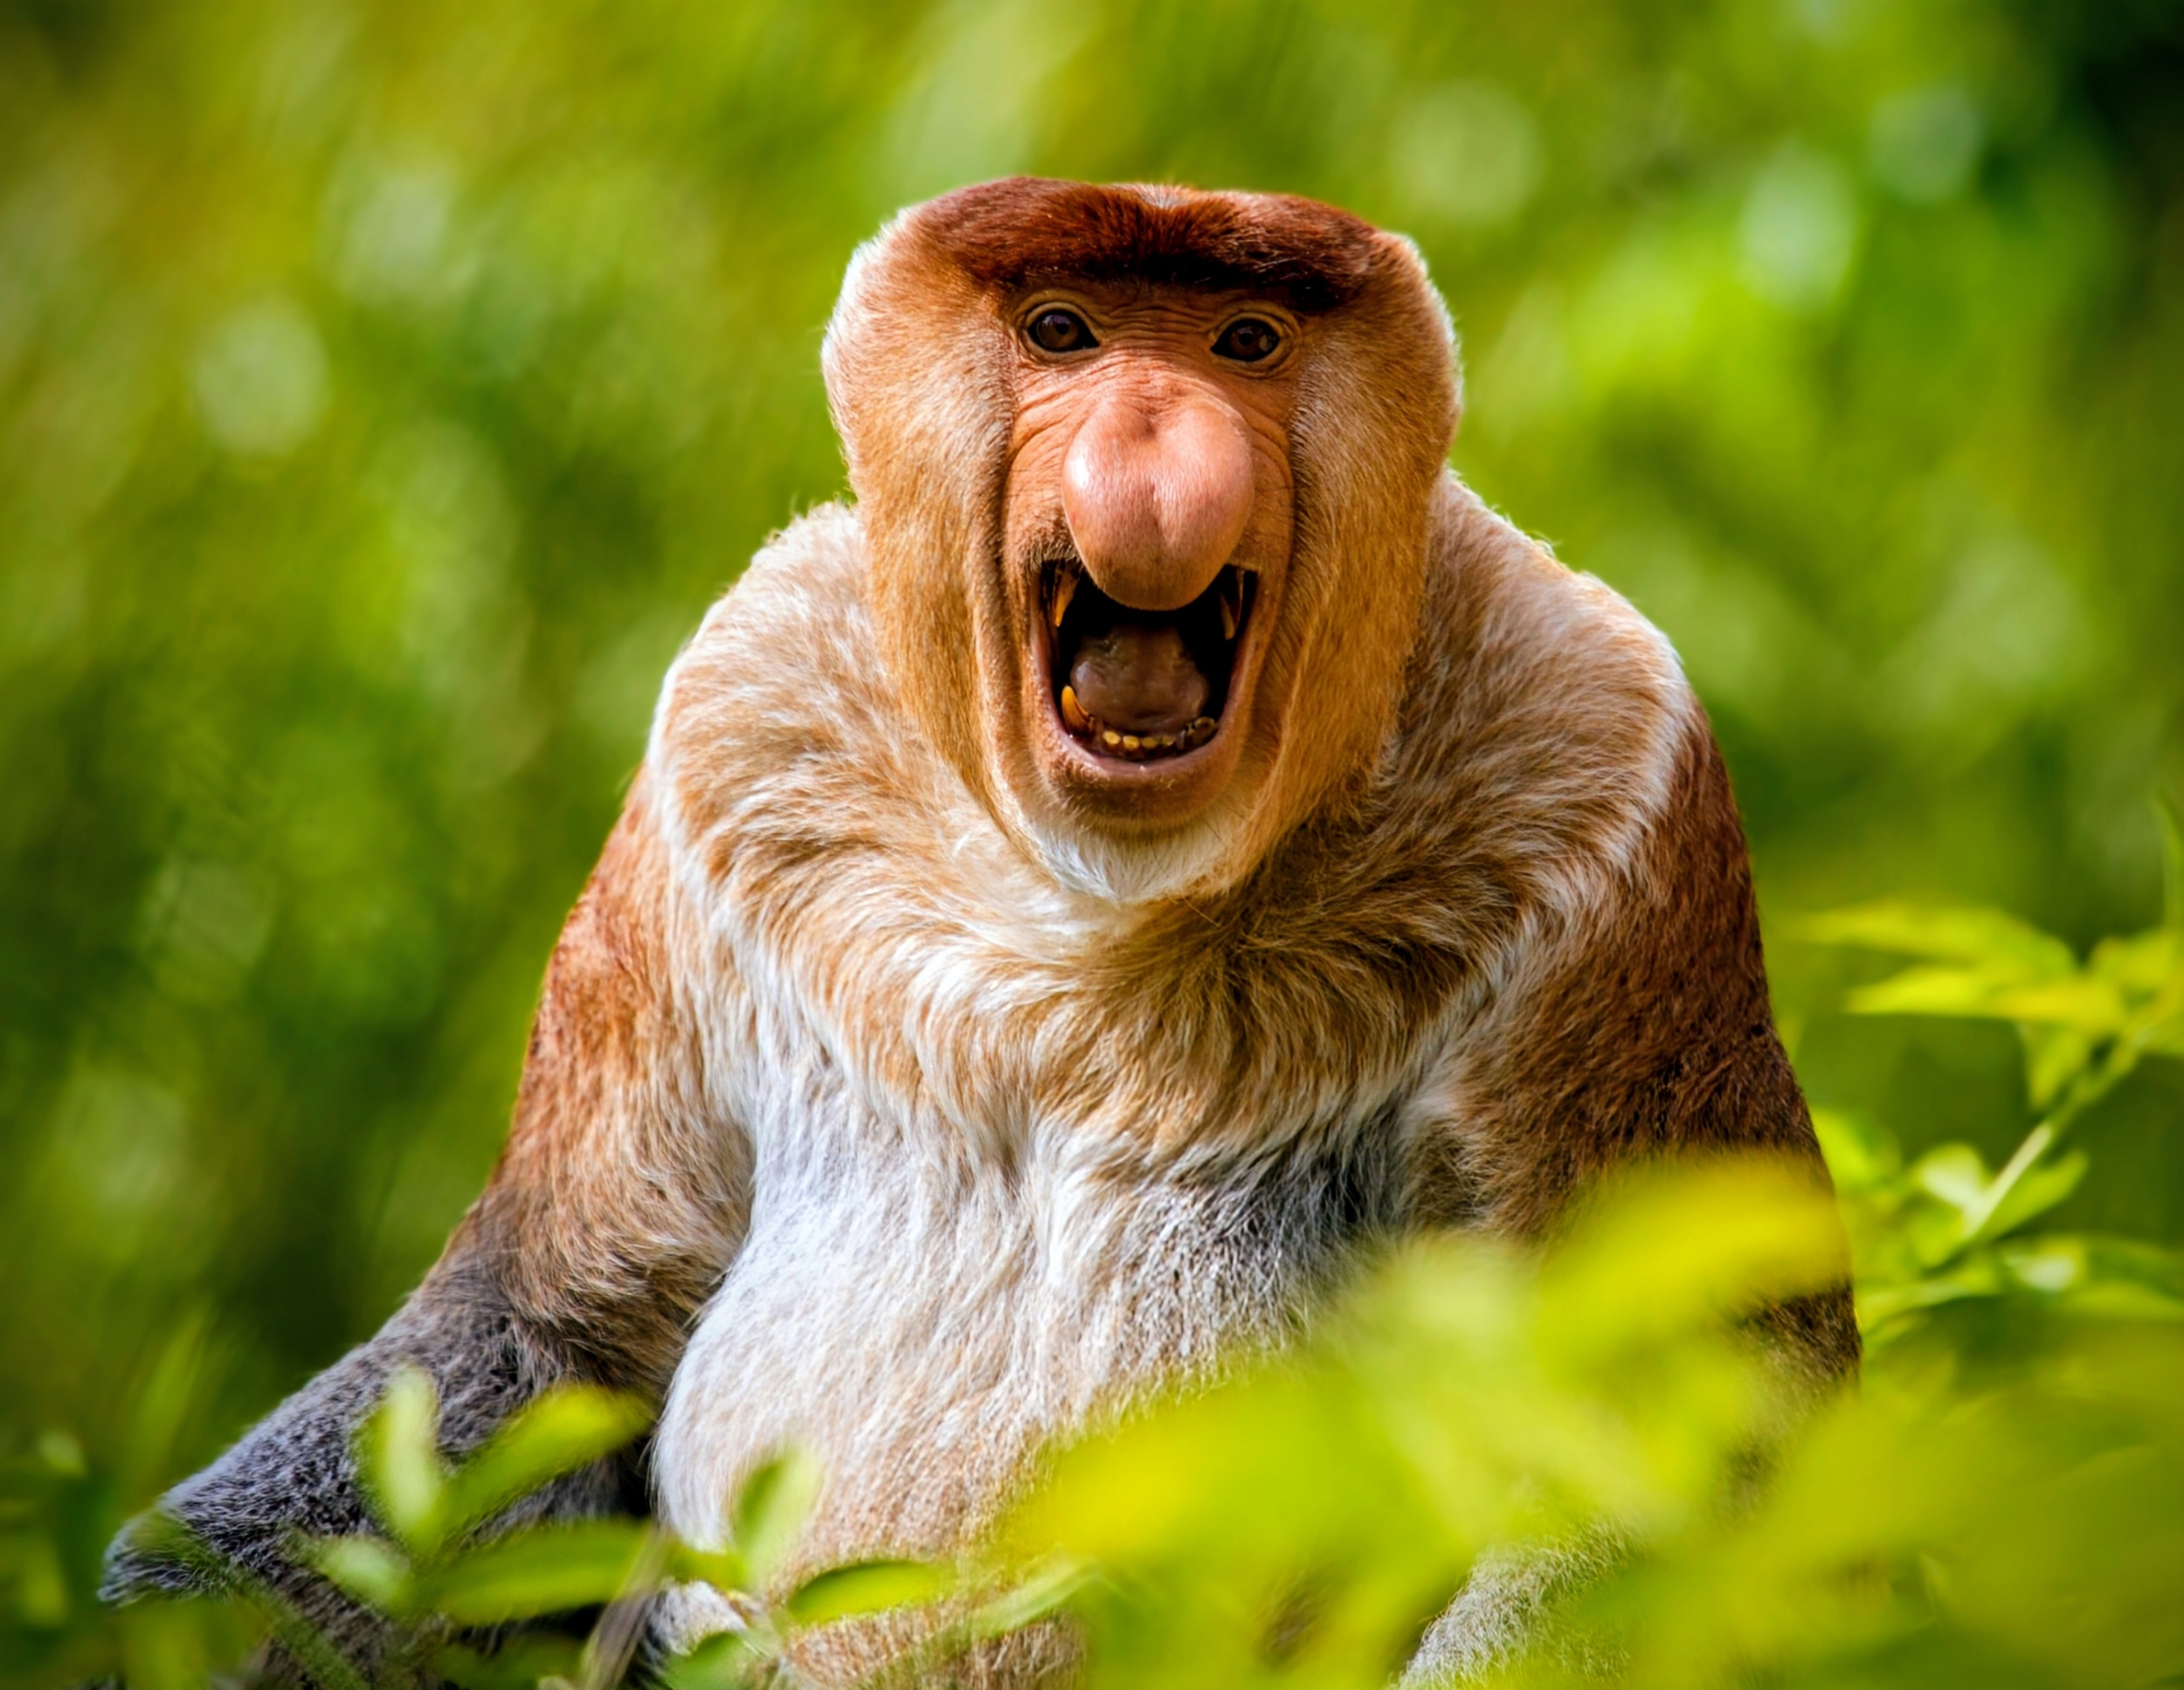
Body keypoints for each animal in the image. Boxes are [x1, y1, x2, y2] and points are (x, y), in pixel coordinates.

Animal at [102, 178, 1858, 1686]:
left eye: (1245, 342)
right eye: (1064, 331)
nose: (1153, 447)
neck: (1093, 896)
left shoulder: (1613, 795)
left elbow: (1692, 1435)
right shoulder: (730, 720)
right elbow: (547, 1328)